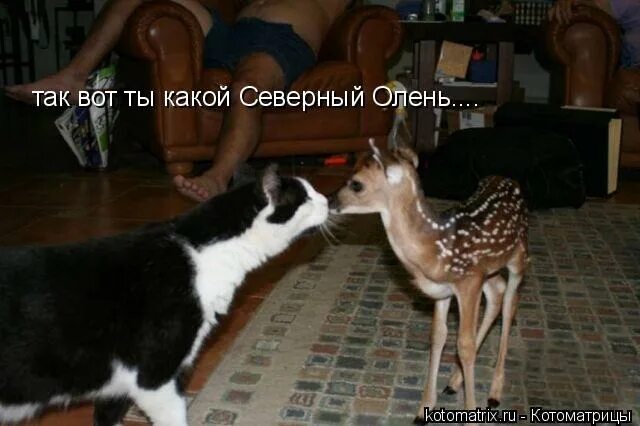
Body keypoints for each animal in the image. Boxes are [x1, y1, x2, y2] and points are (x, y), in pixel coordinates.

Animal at [328, 140, 529, 423]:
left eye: (356, 184)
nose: (329, 201)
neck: (431, 246)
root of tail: (510, 180)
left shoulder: (468, 281)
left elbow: (464, 345)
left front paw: (470, 410)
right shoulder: (446, 290)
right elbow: (438, 336)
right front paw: (424, 408)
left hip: (519, 255)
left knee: (511, 303)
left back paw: (494, 392)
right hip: (489, 271)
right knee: (497, 292)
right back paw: (453, 382)